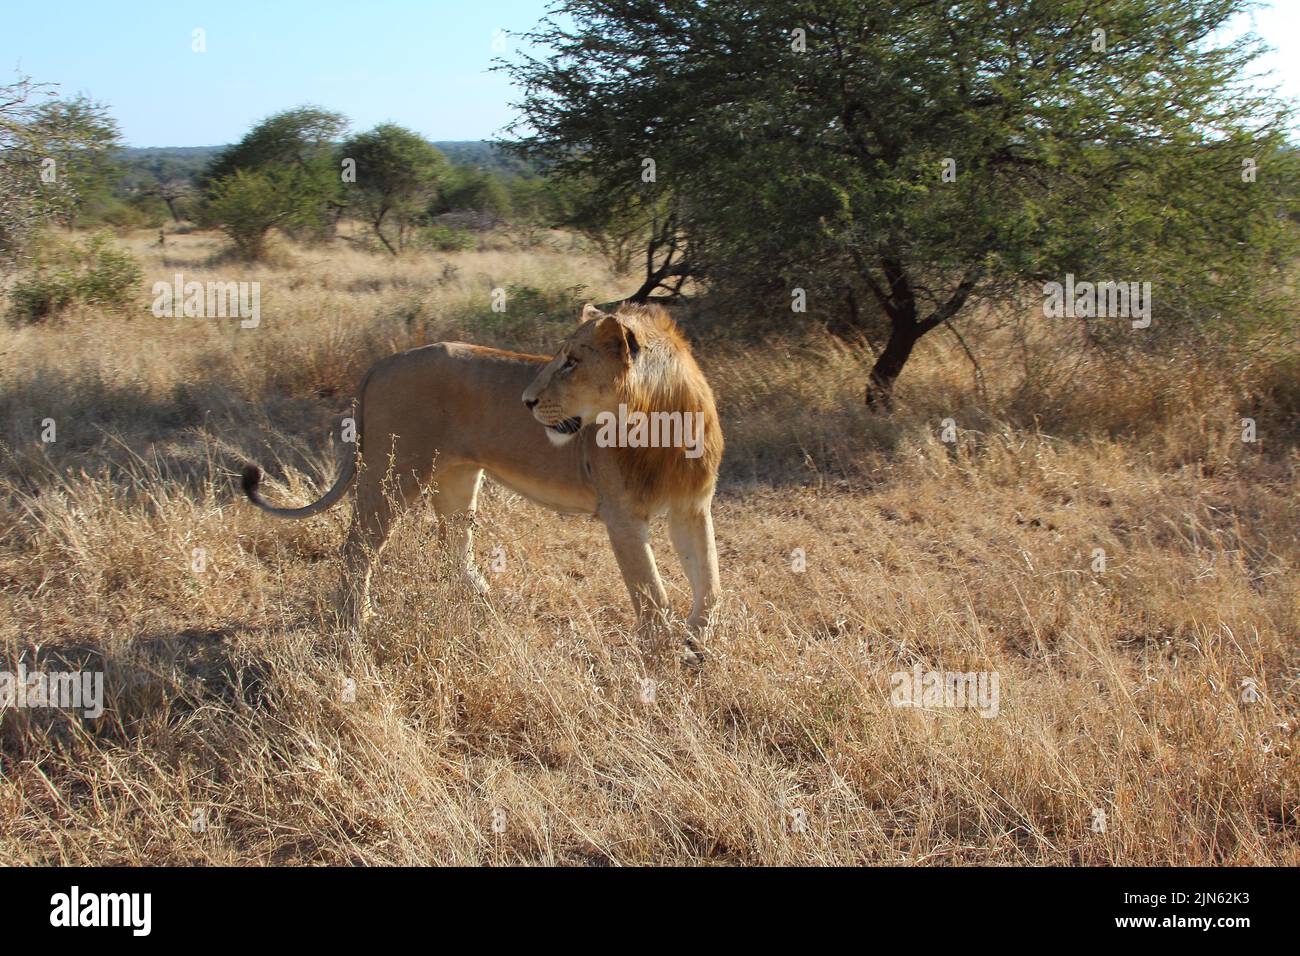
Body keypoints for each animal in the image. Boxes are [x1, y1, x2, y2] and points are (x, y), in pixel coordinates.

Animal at [242, 302, 723, 661]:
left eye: (572, 362)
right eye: (558, 357)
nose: (526, 401)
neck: (663, 423)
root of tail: (382, 363)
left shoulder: (692, 507)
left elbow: (710, 581)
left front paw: (700, 643)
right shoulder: (621, 516)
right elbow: (653, 593)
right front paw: (662, 657)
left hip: (456, 477)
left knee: (453, 542)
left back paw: (485, 601)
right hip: (393, 472)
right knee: (359, 546)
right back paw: (357, 623)